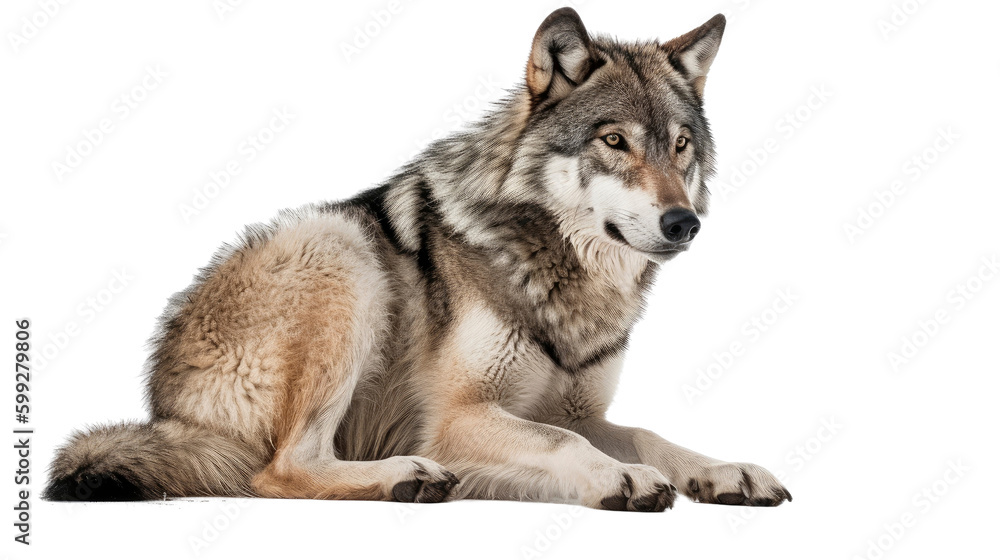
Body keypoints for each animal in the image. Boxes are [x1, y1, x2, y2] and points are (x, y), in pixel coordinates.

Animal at [46, 8, 791, 511]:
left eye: (680, 146)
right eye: (614, 141)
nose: (684, 222)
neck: (563, 273)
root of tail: (166, 410)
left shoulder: (582, 412)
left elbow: (646, 431)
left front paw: (721, 470)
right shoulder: (458, 419)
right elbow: (570, 445)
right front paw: (625, 479)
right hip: (343, 252)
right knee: (277, 472)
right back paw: (408, 477)